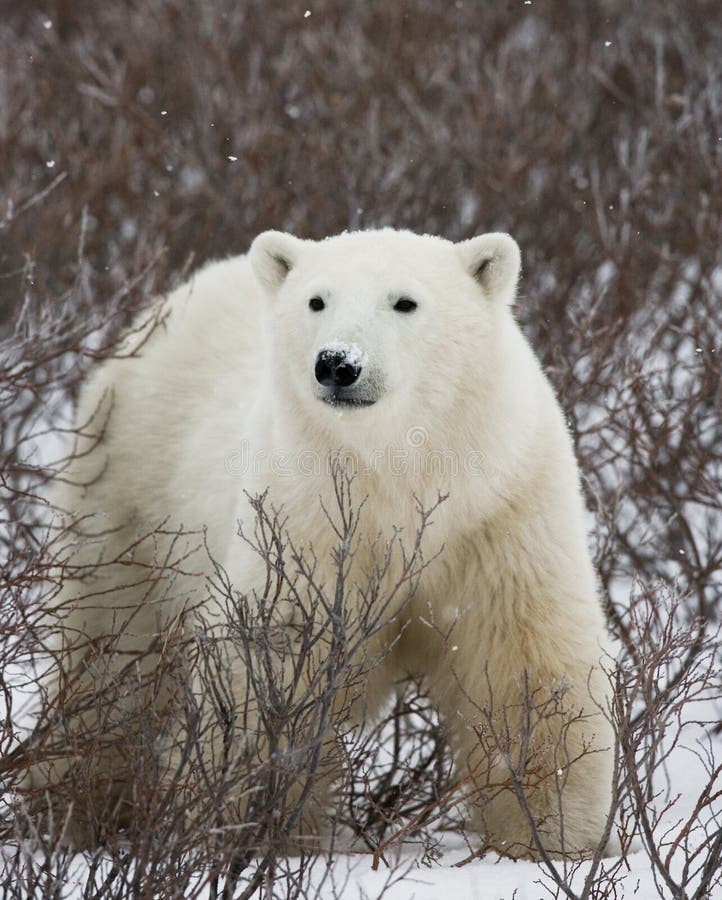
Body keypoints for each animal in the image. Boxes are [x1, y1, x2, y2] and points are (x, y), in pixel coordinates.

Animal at [24, 228, 614, 860]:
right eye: (316, 301)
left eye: (405, 302)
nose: (337, 363)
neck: (398, 476)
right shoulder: (305, 520)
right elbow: (272, 666)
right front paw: (238, 829)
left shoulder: (499, 513)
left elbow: (521, 665)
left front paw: (553, 838)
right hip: (130, 487)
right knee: (110, 651)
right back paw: (69, 807)